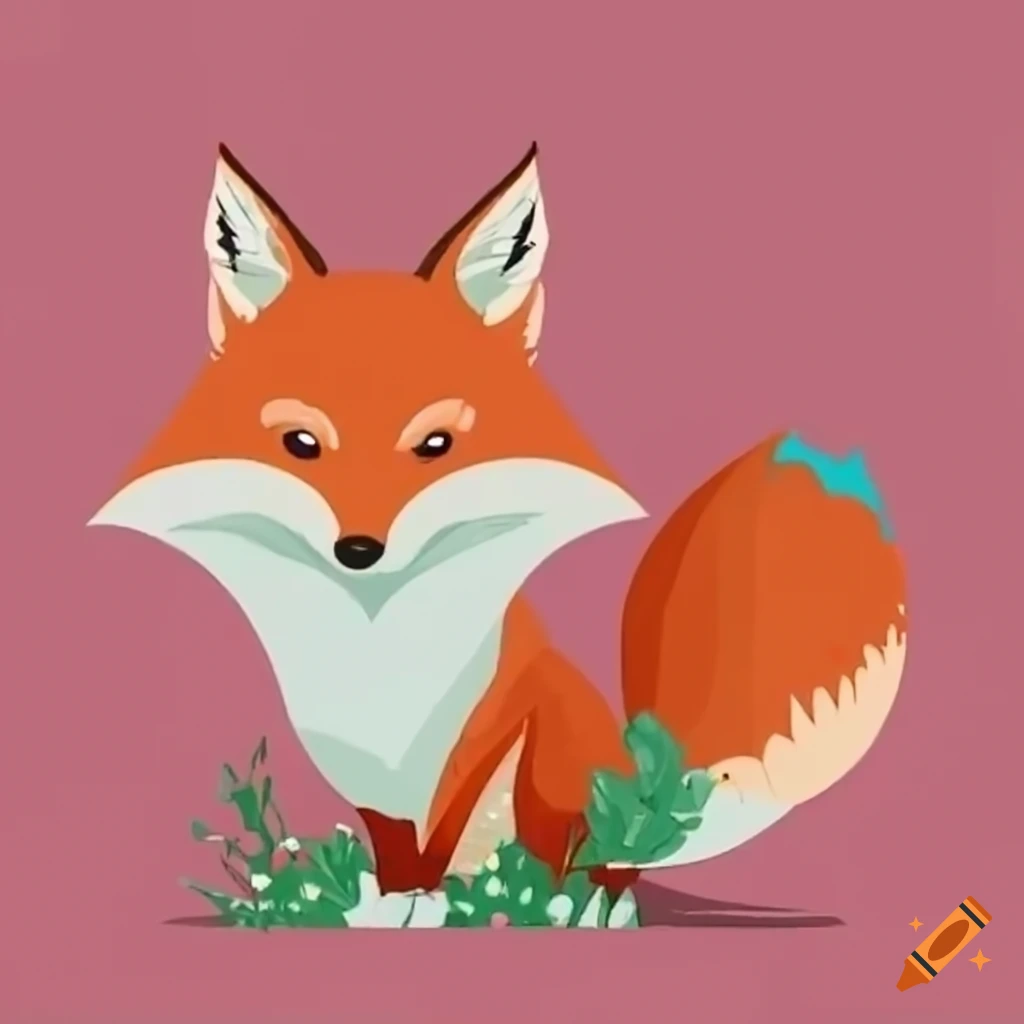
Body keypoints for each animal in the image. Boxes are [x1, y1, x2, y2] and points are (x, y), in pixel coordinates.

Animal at [88, 141, 907, 926]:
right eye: (300, 444)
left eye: (436, 446)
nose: (359, 551)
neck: (379, 652)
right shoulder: (370, 778)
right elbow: (396, 849)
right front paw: (389, 905)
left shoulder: (489, 732)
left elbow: (448, 838)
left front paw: (426, 906)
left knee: (590, 869)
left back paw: (578, 910)